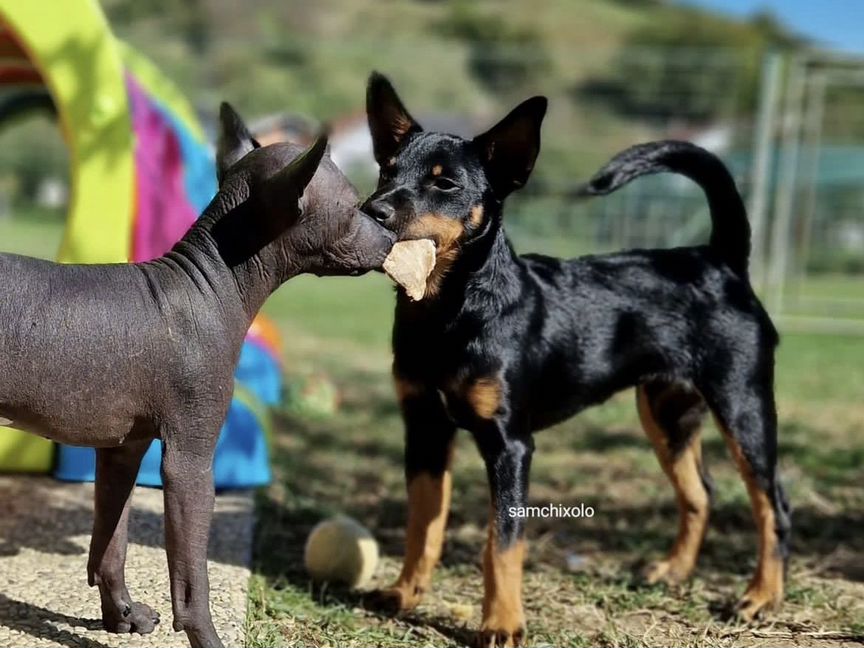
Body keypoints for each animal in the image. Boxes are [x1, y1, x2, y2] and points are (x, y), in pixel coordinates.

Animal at [0, 104, 396, 644]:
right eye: (355, 206)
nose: (393, 234)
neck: (207, 284)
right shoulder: (189, 463)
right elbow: (191, 582)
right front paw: (205, 637)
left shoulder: (121, 451)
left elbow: (110, 543)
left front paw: (120, 615)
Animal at [362, 73, 792, 644]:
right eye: (387, 169)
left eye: (446, 184)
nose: (373, 210)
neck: (452, 311)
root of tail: (720, 260)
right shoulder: (425, 428)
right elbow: (423, 524)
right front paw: (404, 594)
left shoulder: (511, 445)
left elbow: (502, 543)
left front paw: (502, 624)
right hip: (667, 413)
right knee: (700, 492)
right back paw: (674, 572)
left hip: (743, 404)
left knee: (773, 504)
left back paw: (760, 597)